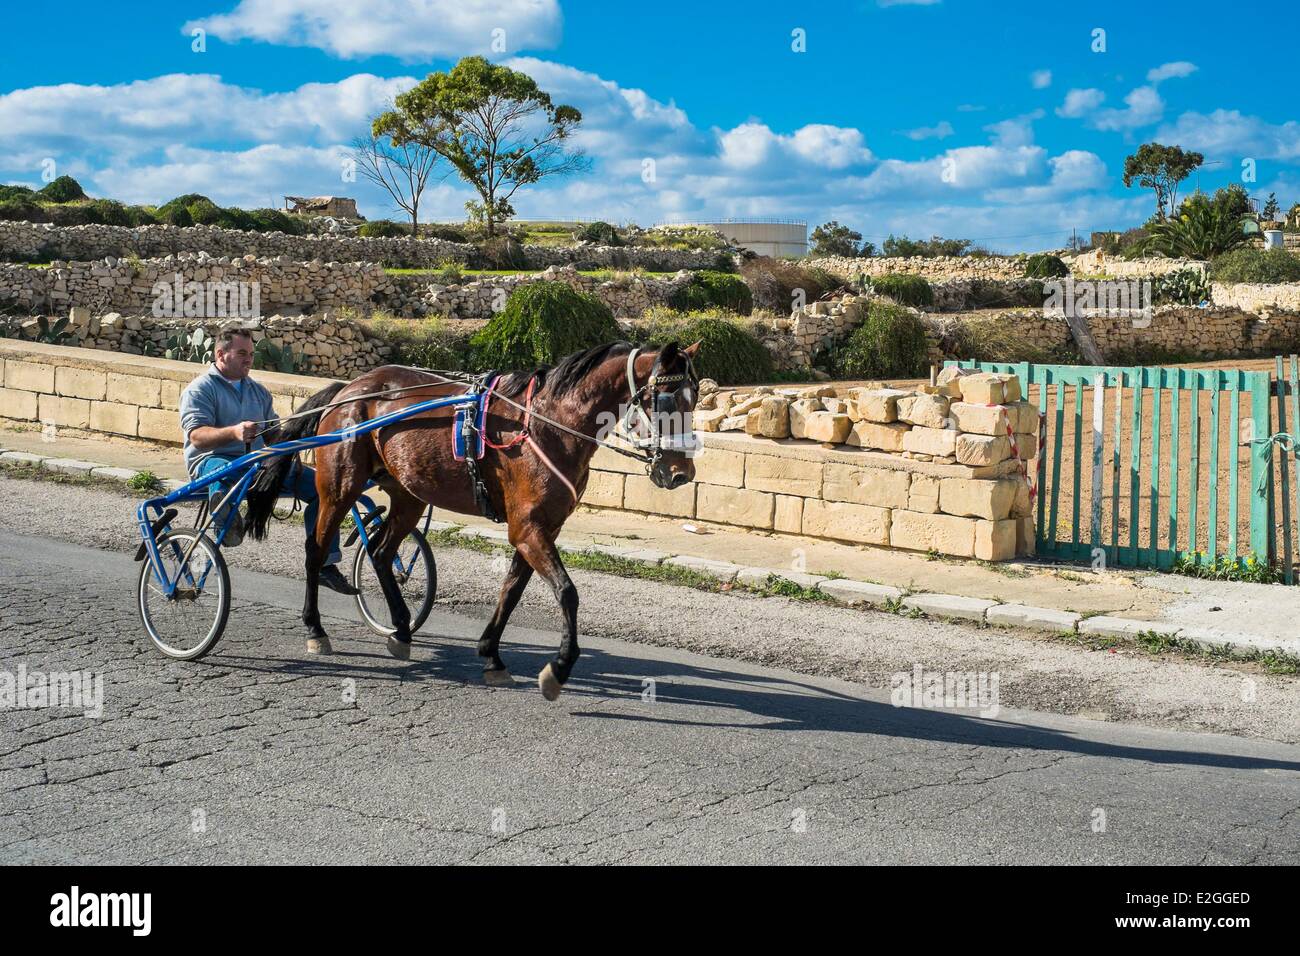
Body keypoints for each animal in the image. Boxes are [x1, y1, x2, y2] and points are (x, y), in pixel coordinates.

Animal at [244, 341, 701, 700]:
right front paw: (558, 668)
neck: (549, 424)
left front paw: (491, 654)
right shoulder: (528, 528)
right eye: (665, 400)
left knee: (380, 551)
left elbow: (511, 591)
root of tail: (348, 390)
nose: (680, 473)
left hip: (408, 493)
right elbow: (567, 593)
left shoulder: (542, 528)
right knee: (316, 550)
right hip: (339, 488)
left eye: (694, 400)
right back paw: (316, 629)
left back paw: (402, 630)